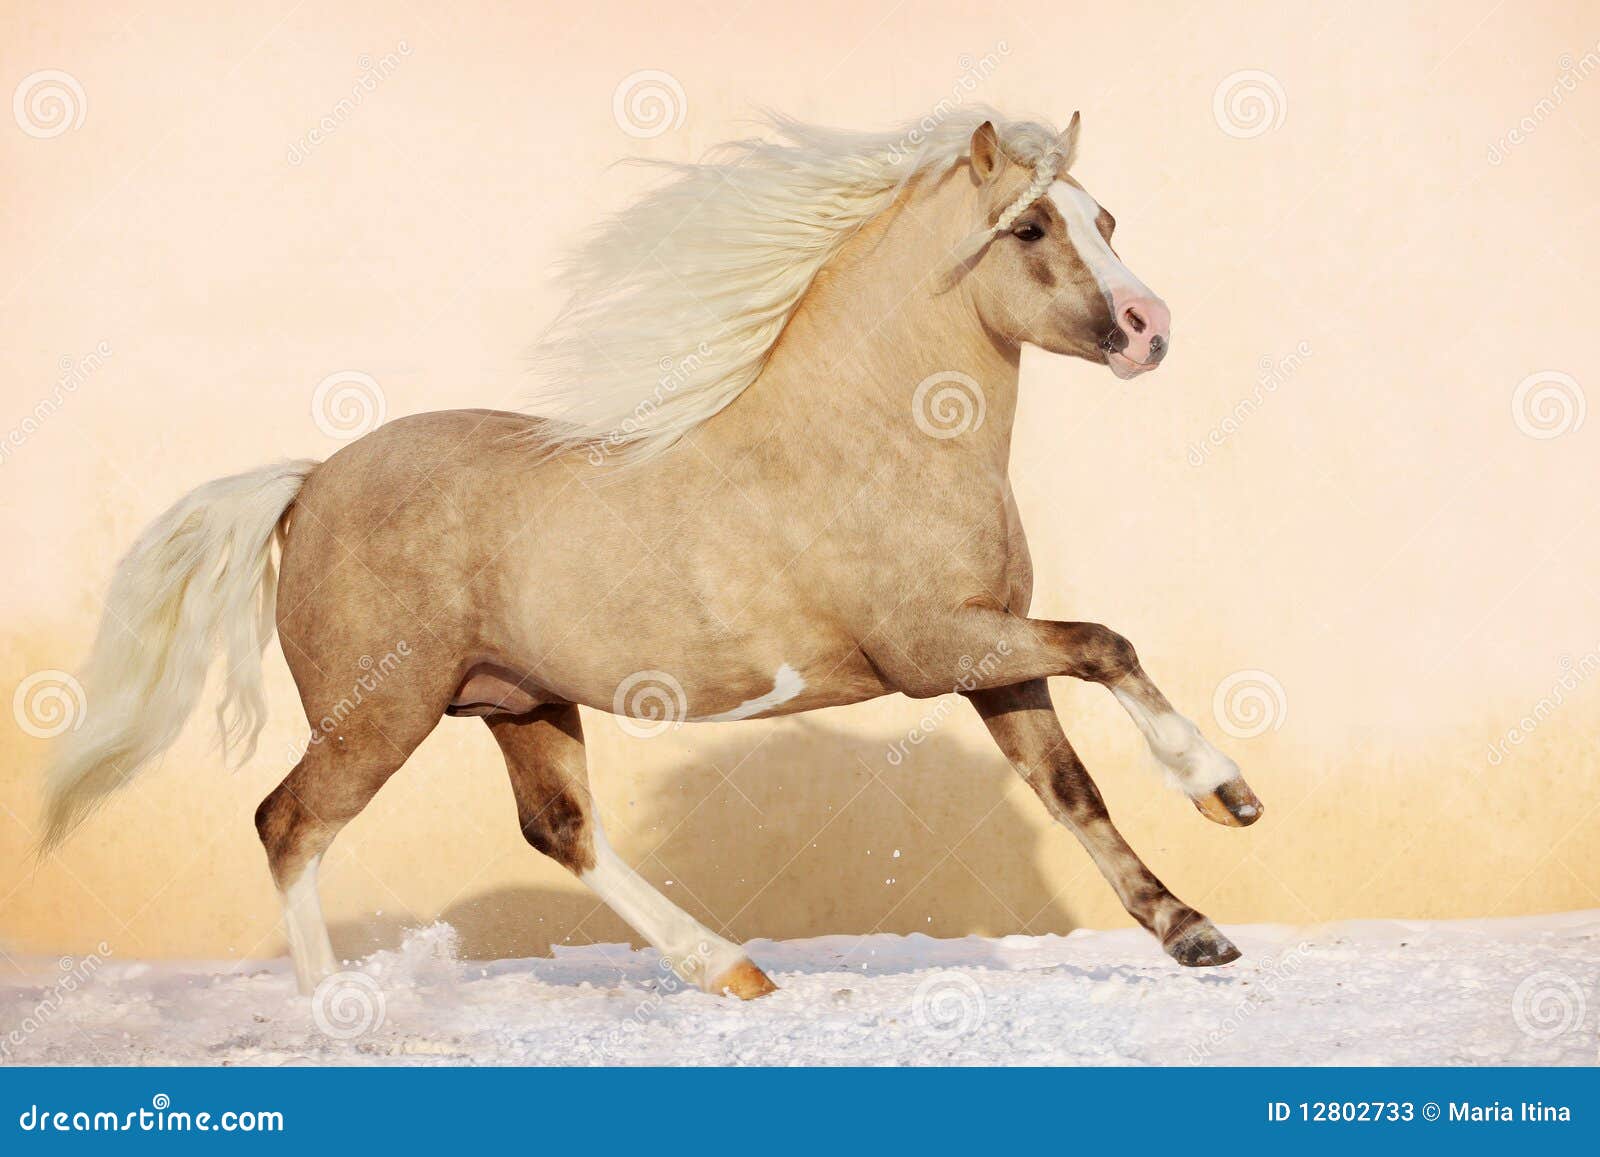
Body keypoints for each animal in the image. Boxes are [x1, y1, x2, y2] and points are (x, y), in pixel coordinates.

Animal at [40, 108, 1263, 1000]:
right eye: (1030, 230)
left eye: (1106, 215)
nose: (1151, 328)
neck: (873, 436)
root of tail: (308, 483)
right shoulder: (938, 648)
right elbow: (1108, 643)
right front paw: (1224, 790)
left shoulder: (991, 658)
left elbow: (1072, 785)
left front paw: (1195, 928)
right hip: (375, 714)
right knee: (289, 825)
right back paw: (337, 1015)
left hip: (520, 702)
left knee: (560, 828)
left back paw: (730, 970)